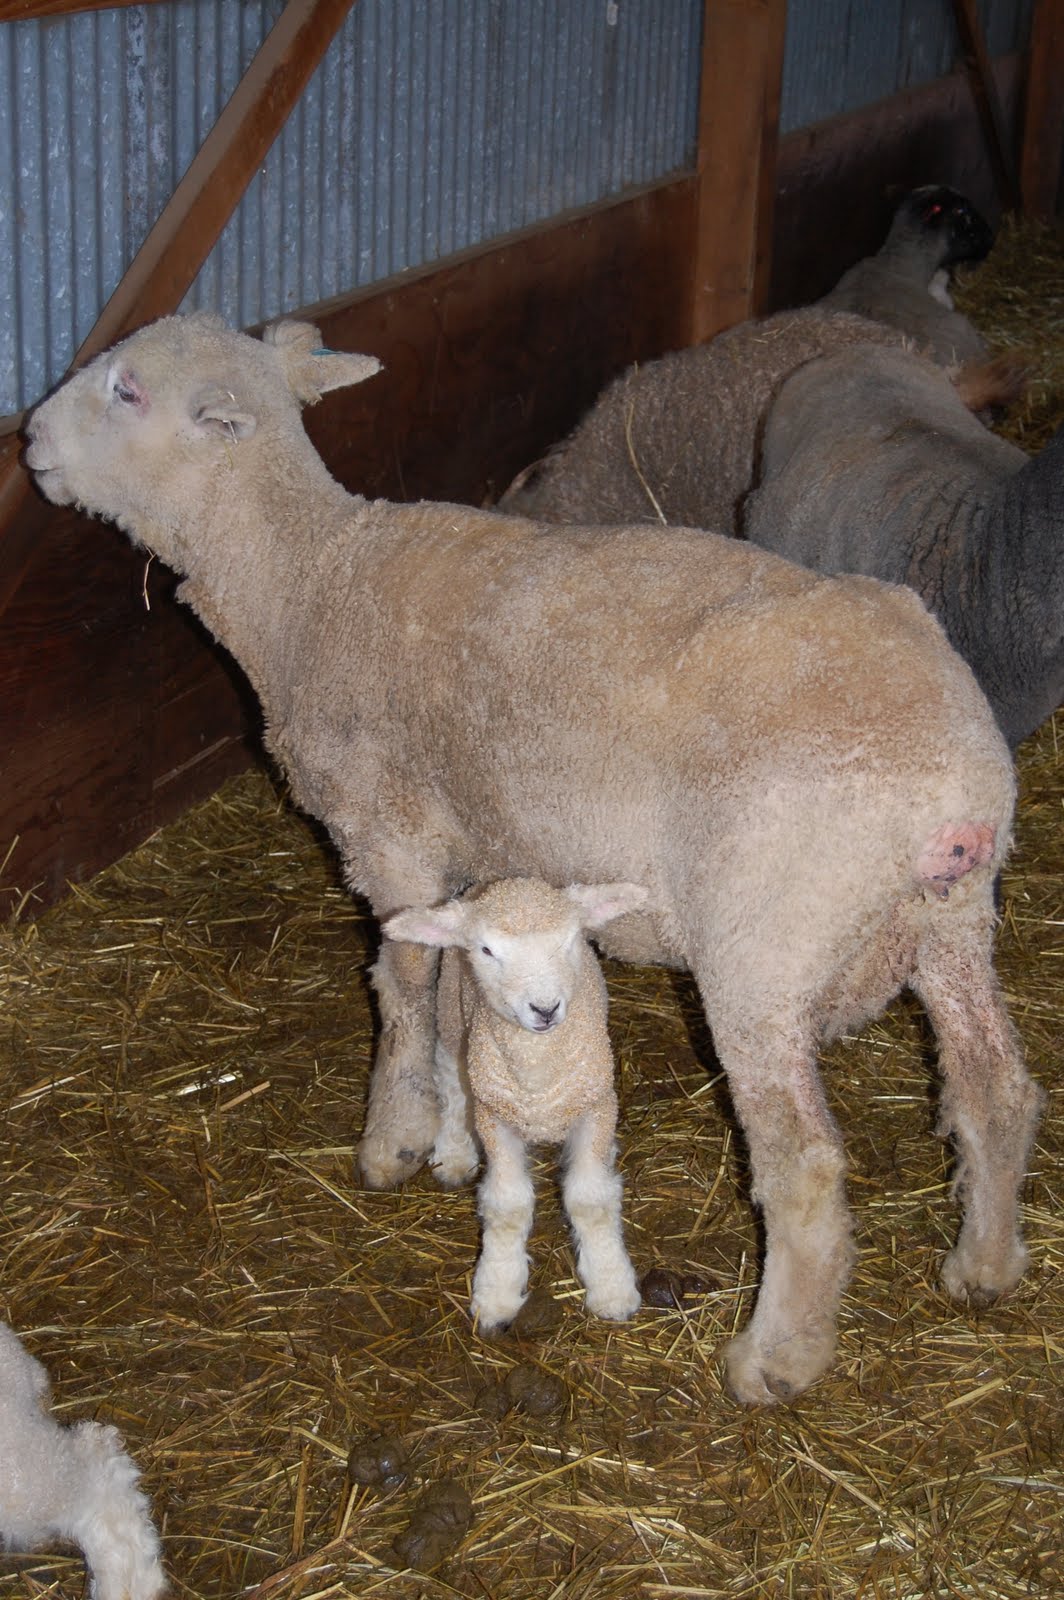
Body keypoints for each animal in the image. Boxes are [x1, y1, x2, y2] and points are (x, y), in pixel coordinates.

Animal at [384, 877, 647, 1331]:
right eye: (487, 950)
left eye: (570, 940)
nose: (544, 1008)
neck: (537, 1074)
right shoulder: (495, 1117)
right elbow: (507, 1206)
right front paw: (496, 1291)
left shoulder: (595, 1106)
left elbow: (591, 1201)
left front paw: (611, 1286)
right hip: (453, 1018)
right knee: (451, 1079)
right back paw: (454, 1152)